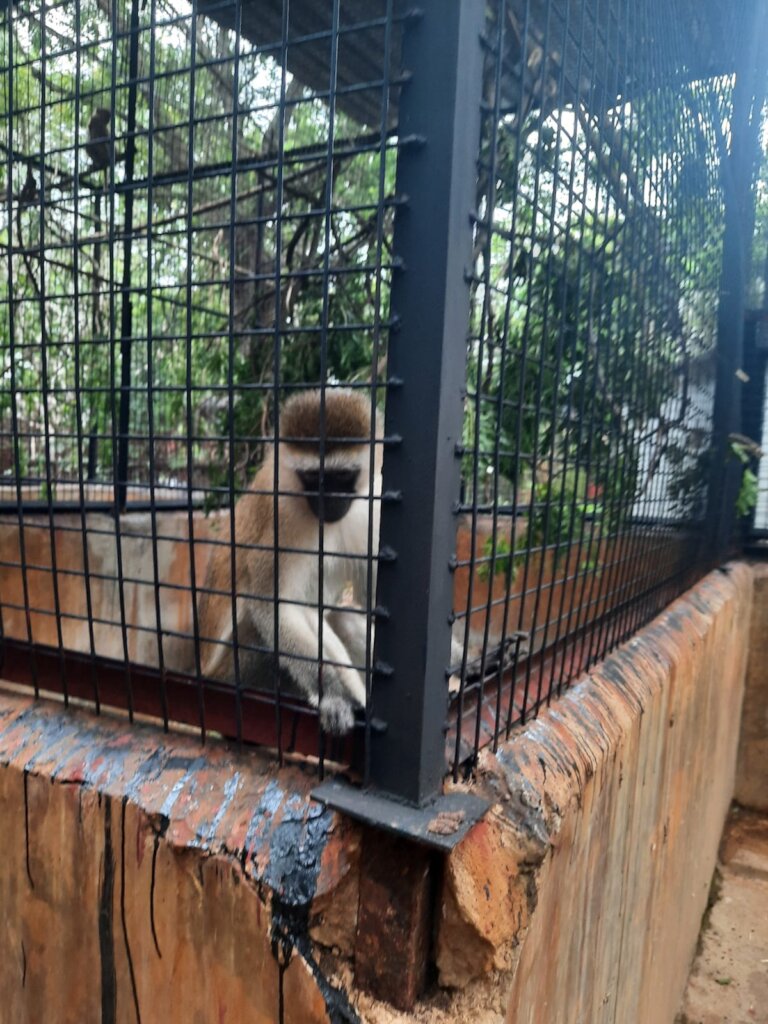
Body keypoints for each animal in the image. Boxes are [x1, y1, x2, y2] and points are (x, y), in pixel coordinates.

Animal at [197, 388, 382, 735]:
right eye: (312, 477)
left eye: (342, 476)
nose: (329, 502)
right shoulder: (282, 516)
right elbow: (273, 606)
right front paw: (332, 695)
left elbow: (371, 606)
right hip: (232, 673)